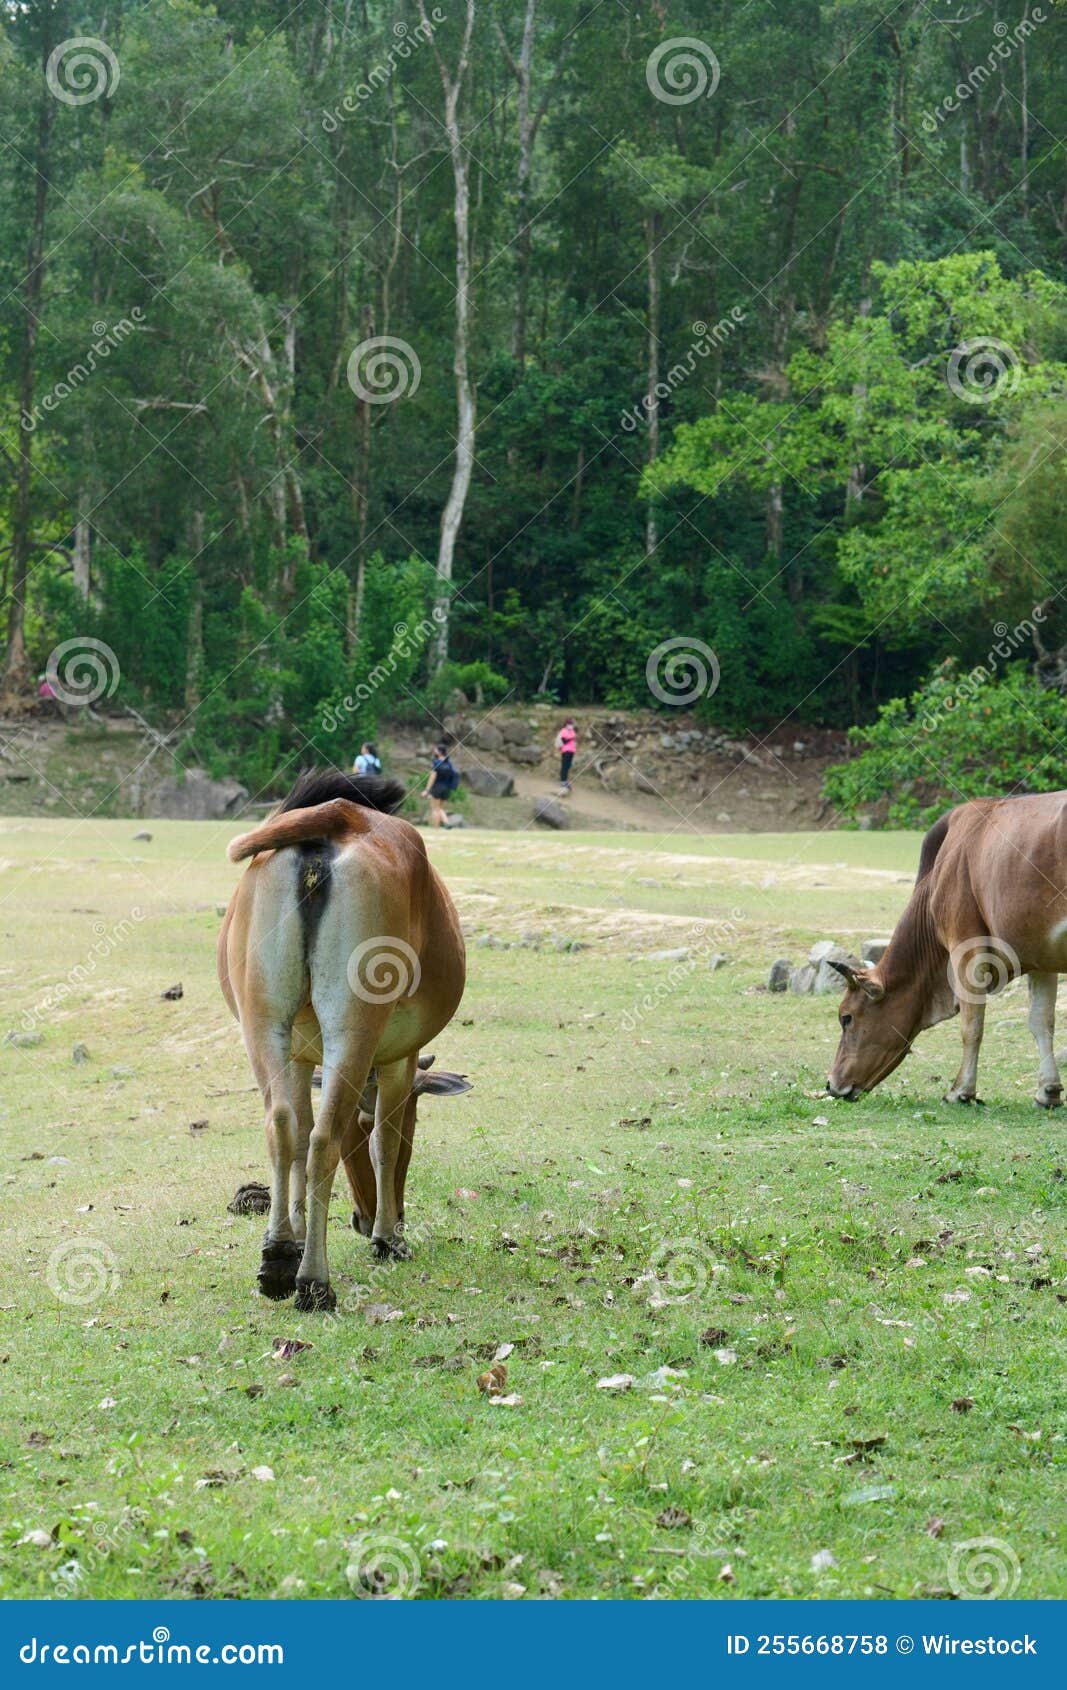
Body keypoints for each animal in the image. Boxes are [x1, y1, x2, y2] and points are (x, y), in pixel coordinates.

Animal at [218, 770, 467, 1311]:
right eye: (418, 1125)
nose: (362, 1218)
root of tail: (339, 817)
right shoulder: (399, 1060)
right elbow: (383, 1144)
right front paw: (388, 1237)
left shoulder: (298, 1057)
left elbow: (296, 1137)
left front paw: (291, 1236)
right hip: (354, 1029)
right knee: (323, 1141)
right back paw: (315, 1281)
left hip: (264, 1023)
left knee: (283, 1128)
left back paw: (277, 1259)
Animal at [827, 793, 1067, 1108]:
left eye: (846, 1017)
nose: (831, 1084)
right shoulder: (1041, 959)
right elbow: (1041, 1022)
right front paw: (1047, 1091)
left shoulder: (966, 949)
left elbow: (971, 1026)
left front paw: (960, 1090)